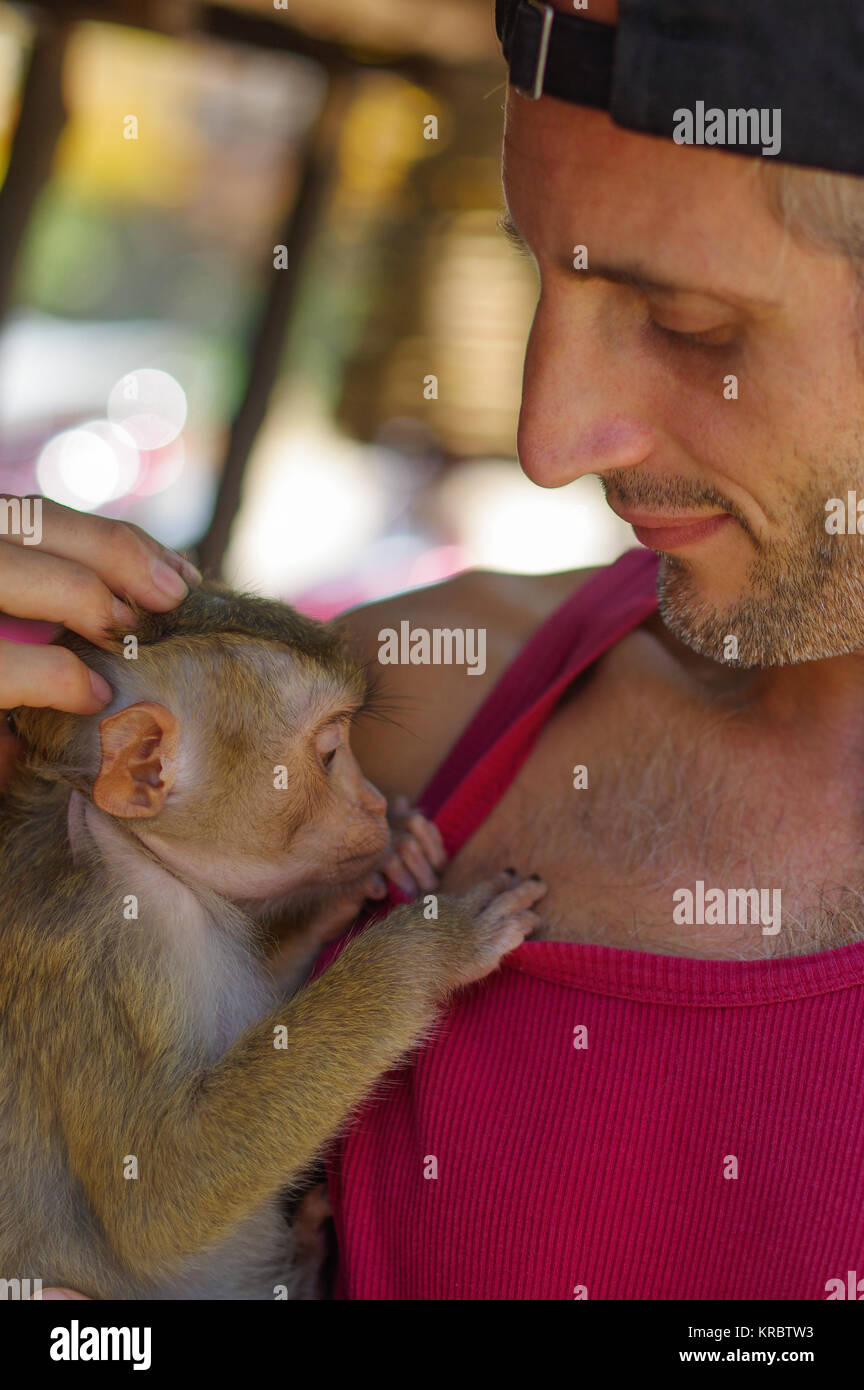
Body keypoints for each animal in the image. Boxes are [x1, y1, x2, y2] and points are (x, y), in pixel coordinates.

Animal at [0, 583, 546, 1300]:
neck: (126, 850)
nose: (376, 805)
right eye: (332, 751)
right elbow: (157, 1196)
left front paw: (375, 872)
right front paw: (423, 948)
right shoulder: (105, 961)